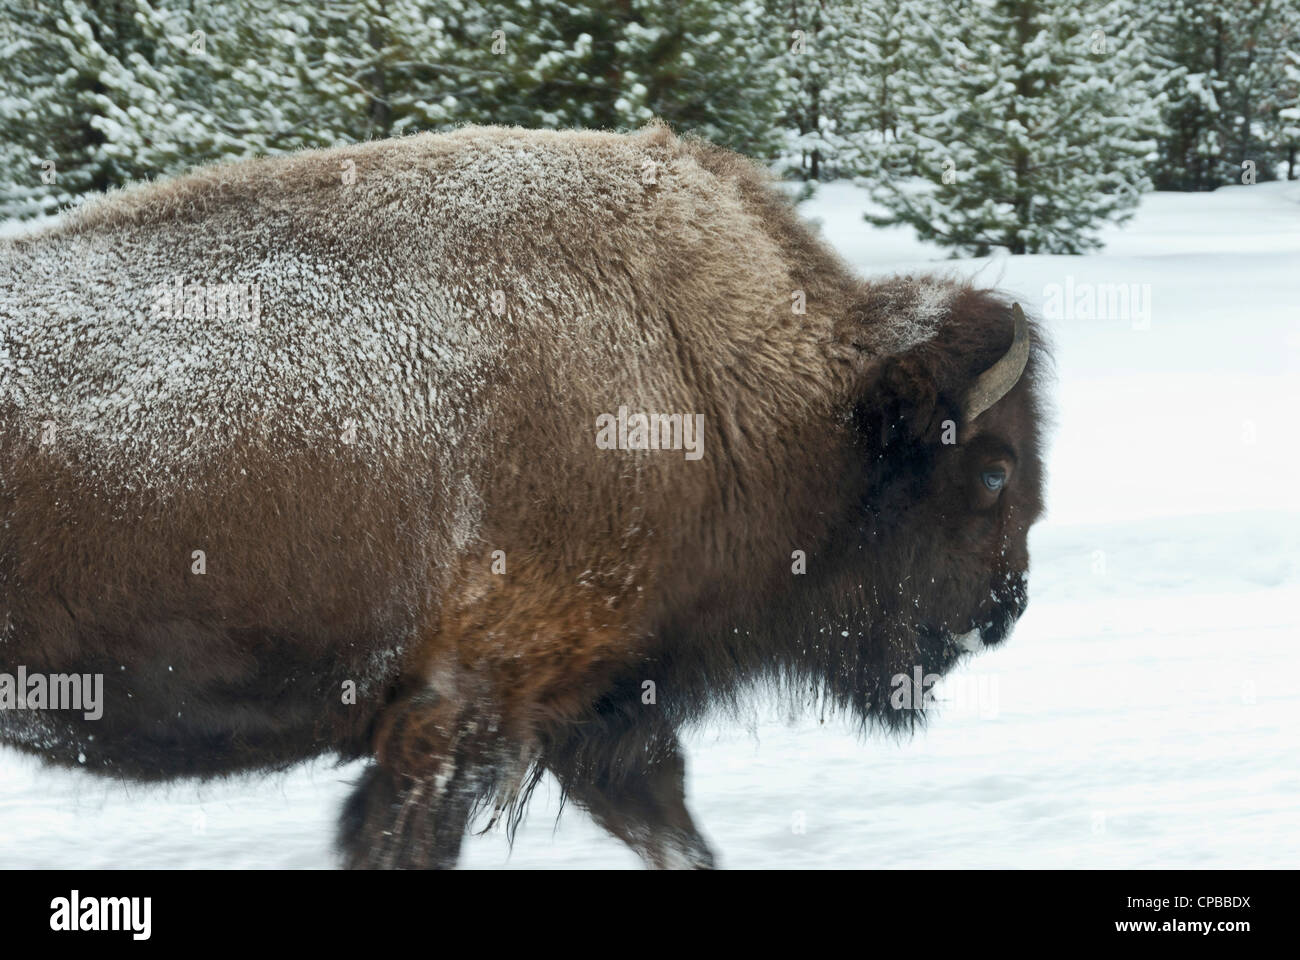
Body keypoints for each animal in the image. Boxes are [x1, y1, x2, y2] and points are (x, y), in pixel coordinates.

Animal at [0, 124, 1048, 868]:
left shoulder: (592, 711)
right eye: (993, 471)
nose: (1005, 611)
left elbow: (677, 832)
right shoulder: (462, 714)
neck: (707, 378)